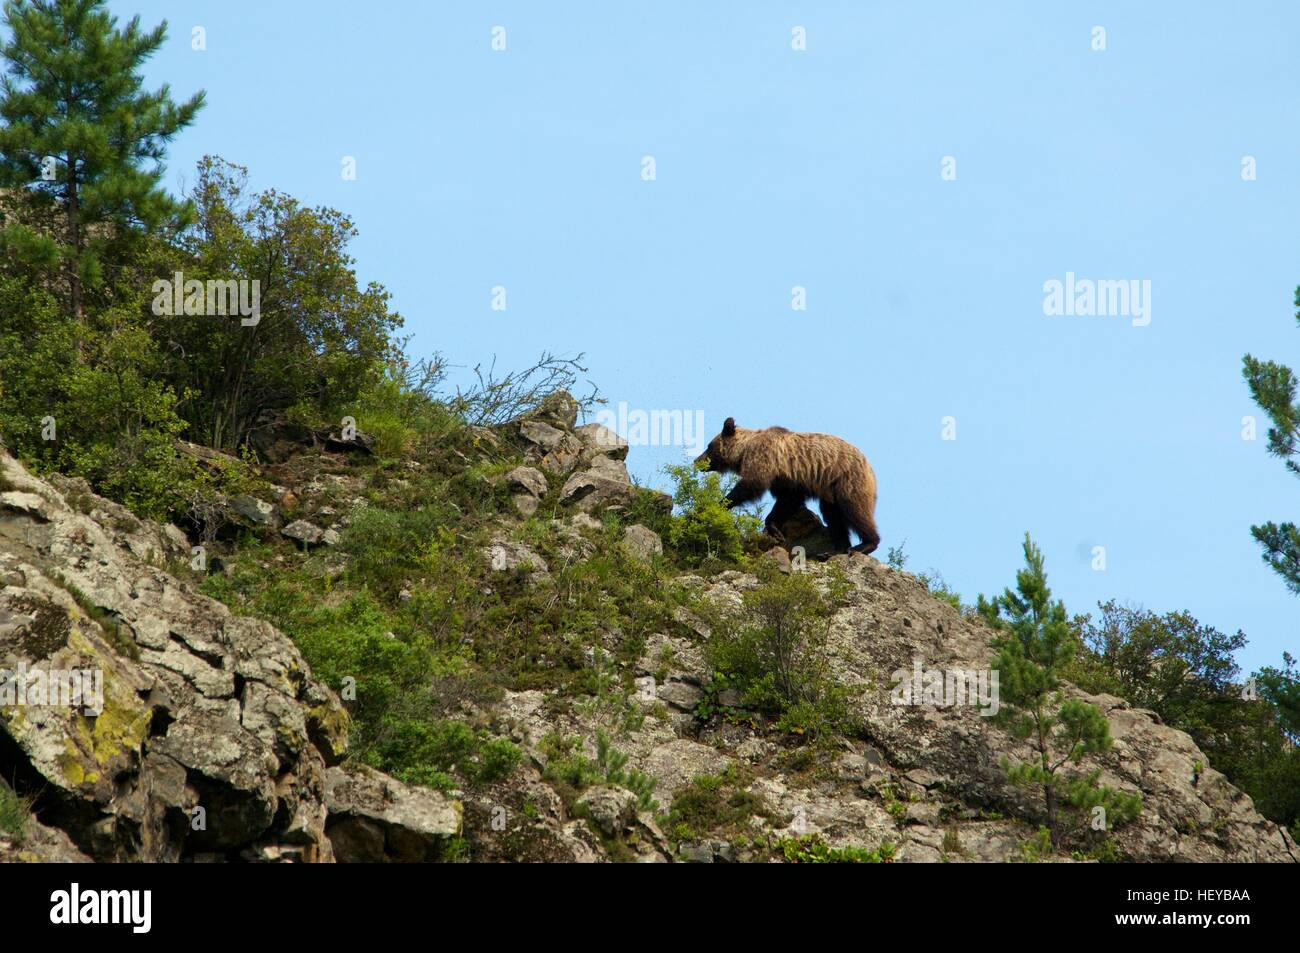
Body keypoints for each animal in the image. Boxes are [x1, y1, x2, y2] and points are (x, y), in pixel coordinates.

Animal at [695, 417, 880, 555]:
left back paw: (865, 545)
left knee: (855, 510)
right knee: (833, 515)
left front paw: (722, 503)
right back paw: (834, 550)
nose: (697, 460)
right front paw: (775, 529)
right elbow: (787, 501)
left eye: (709, 446)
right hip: (830, 490)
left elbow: (751, 485)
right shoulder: (785, 480)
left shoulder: (764, 458)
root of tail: (870, 468)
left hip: (847, 479)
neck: (743, 450)